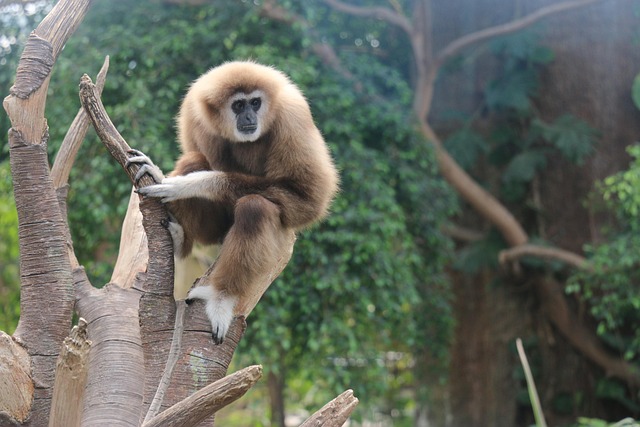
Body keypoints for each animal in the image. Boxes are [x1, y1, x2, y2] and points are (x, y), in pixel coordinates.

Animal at [129, 61, 339, 344]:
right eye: (238, 105)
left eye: (256, 103)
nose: (249, 117)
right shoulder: (194, 112)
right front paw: (162, 174)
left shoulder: (292, 119)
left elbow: (307, 200)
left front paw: (192, 184)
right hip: (215, 230)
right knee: (194, 159)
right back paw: (180, 242)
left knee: (255, 209)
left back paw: (220, 298)